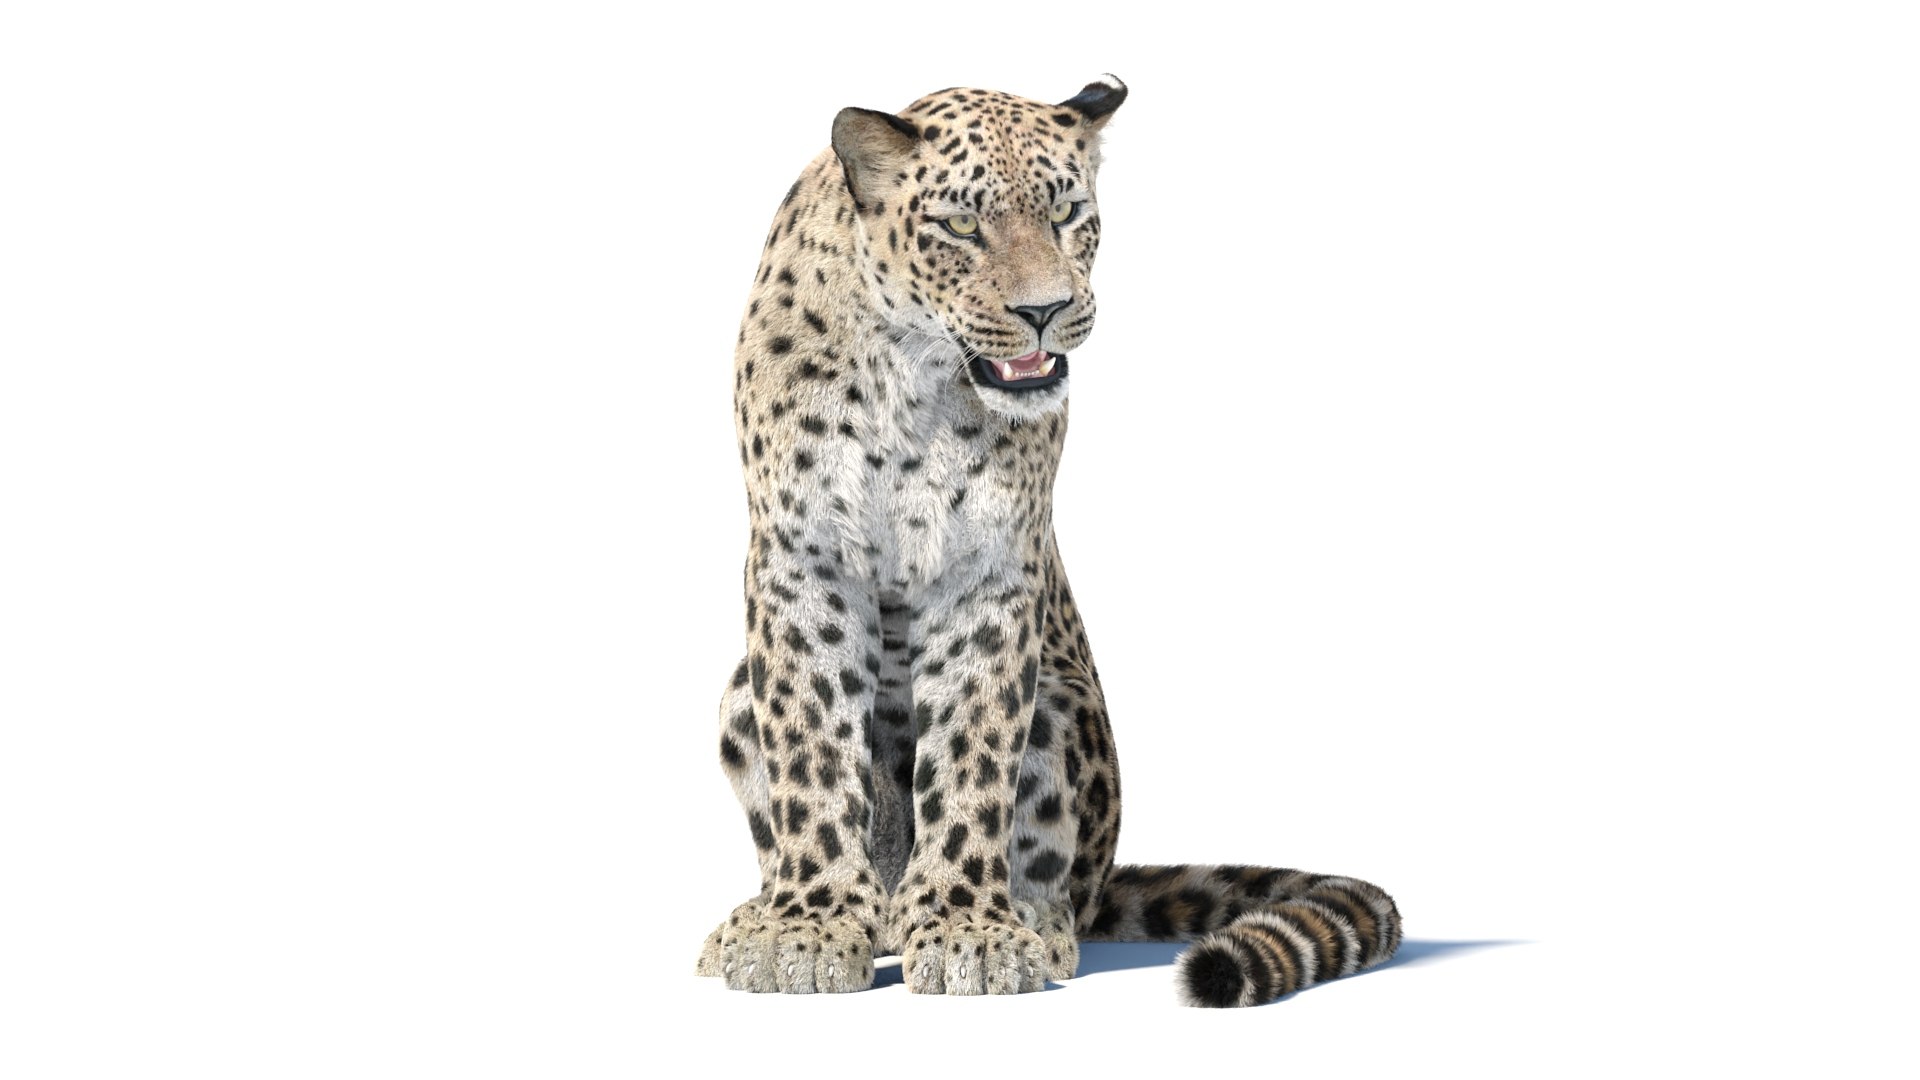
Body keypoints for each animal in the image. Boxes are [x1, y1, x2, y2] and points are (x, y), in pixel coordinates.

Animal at [693, 76, 1402, 1006]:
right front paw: (805, 926)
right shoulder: (803, 562)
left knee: (1056, 877)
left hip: (1064, 708)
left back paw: (1021, 922)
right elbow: (810, 749)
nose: (1045, 310)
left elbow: (970, 756)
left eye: (1067, 213)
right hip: (739, 689)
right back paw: (776, 916)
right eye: (962, 227)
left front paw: (969, 930)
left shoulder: (989, 569)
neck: (909, 379)